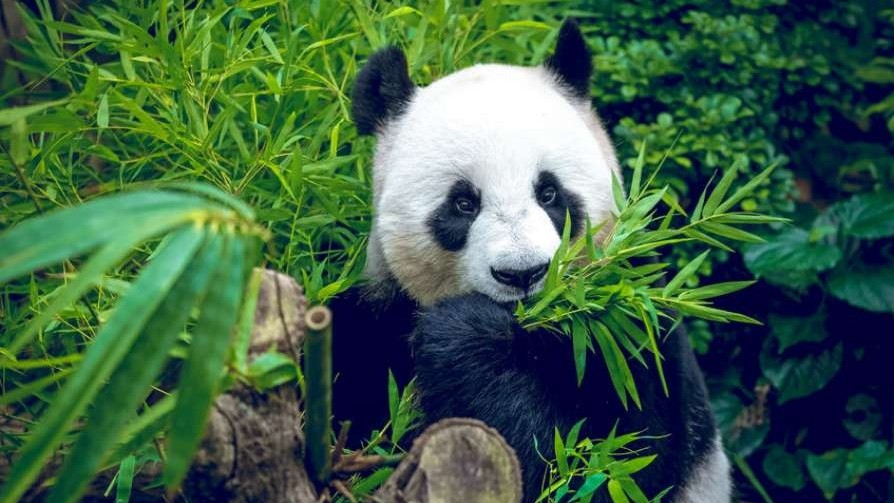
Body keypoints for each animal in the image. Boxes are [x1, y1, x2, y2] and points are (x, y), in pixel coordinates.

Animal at [330, 19, 731, 503]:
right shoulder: (371, 327)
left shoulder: (632, 338)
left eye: (550, 192)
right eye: (463, 203)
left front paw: (463, 334)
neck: (531, 329)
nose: (522, 273)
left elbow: (606, 465)